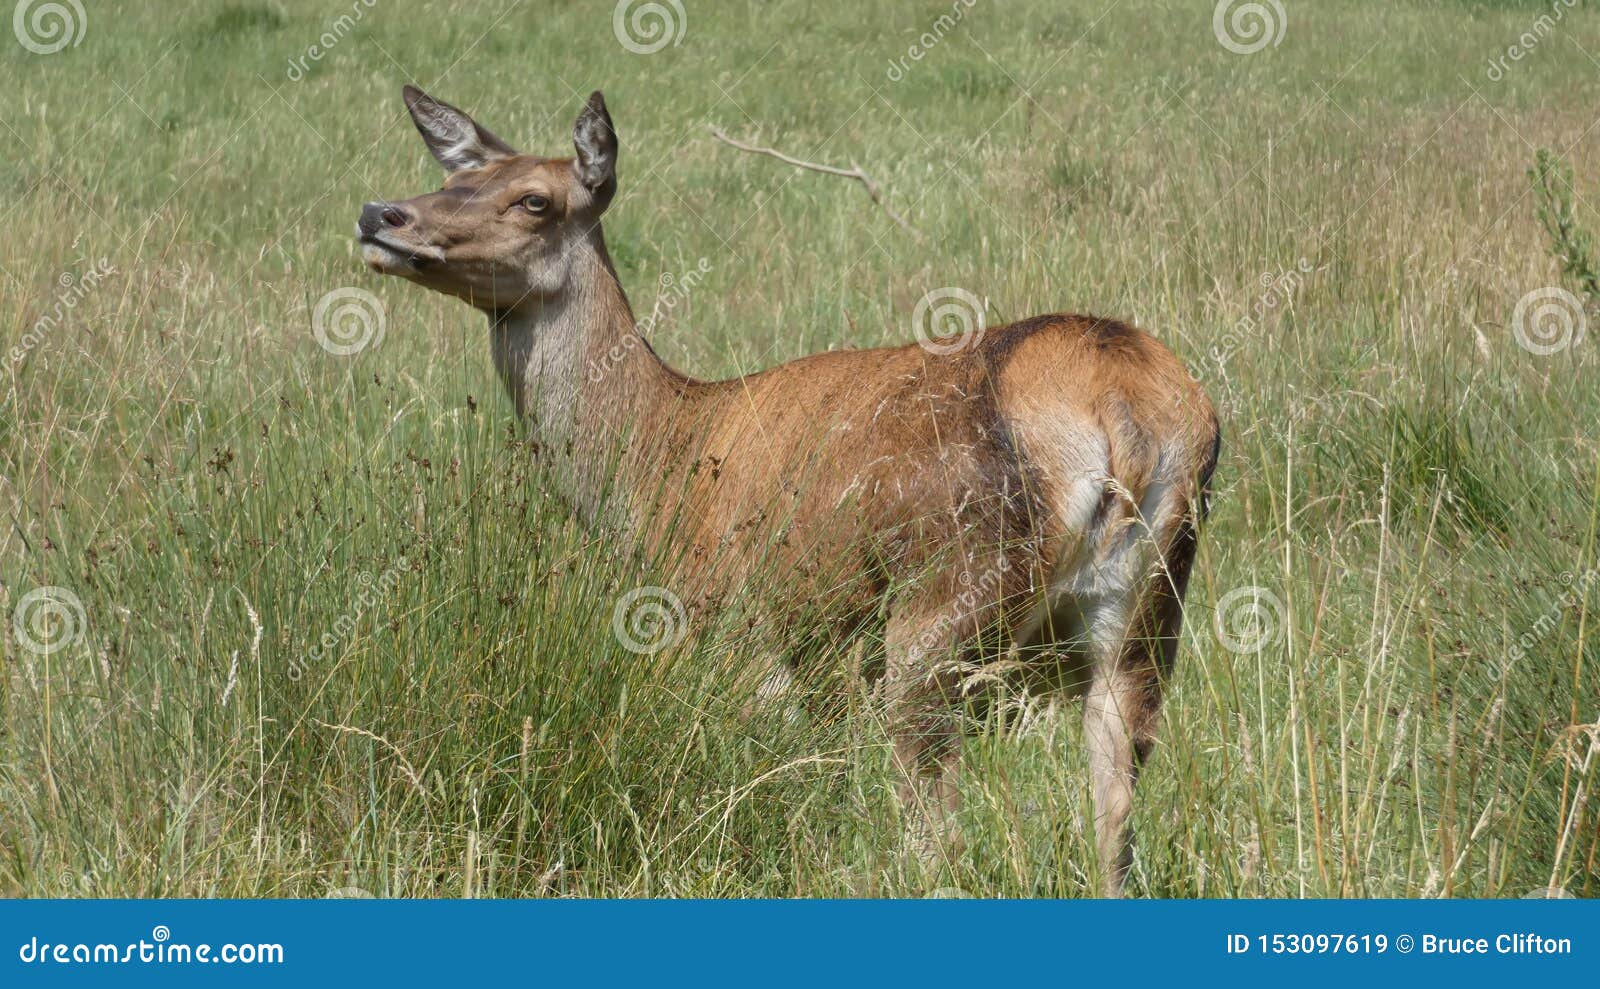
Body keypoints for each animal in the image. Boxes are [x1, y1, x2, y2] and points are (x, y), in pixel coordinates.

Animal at [354, 85, 1220, 896]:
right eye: (455, 177)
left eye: (535, 199)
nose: (379, 214)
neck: (661, 468)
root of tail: (1124, 407)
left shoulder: (734, 625)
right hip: (1147, 617)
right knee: (1113, 823)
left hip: (940, 611)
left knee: (939, 830)